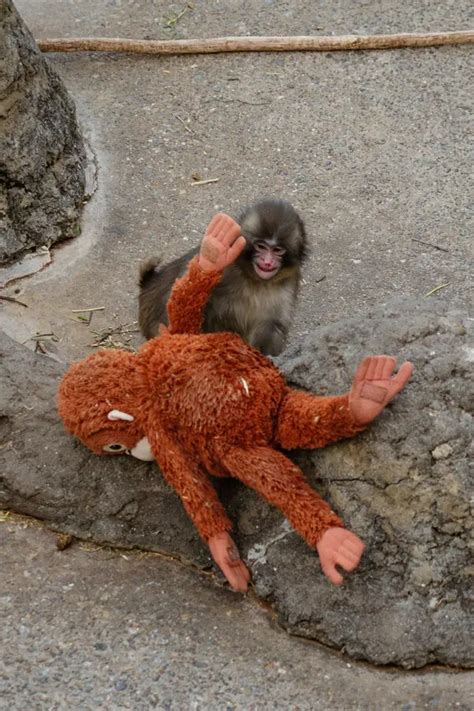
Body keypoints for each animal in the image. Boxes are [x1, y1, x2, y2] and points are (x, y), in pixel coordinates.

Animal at [138, 199, 307, 356]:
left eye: (277, 250)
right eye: (261, 247)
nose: (267, 262)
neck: (254, 279)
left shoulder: (288, 283)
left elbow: (272, 325)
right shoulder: (227, 270)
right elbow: (172, 314)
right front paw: (213, 257)